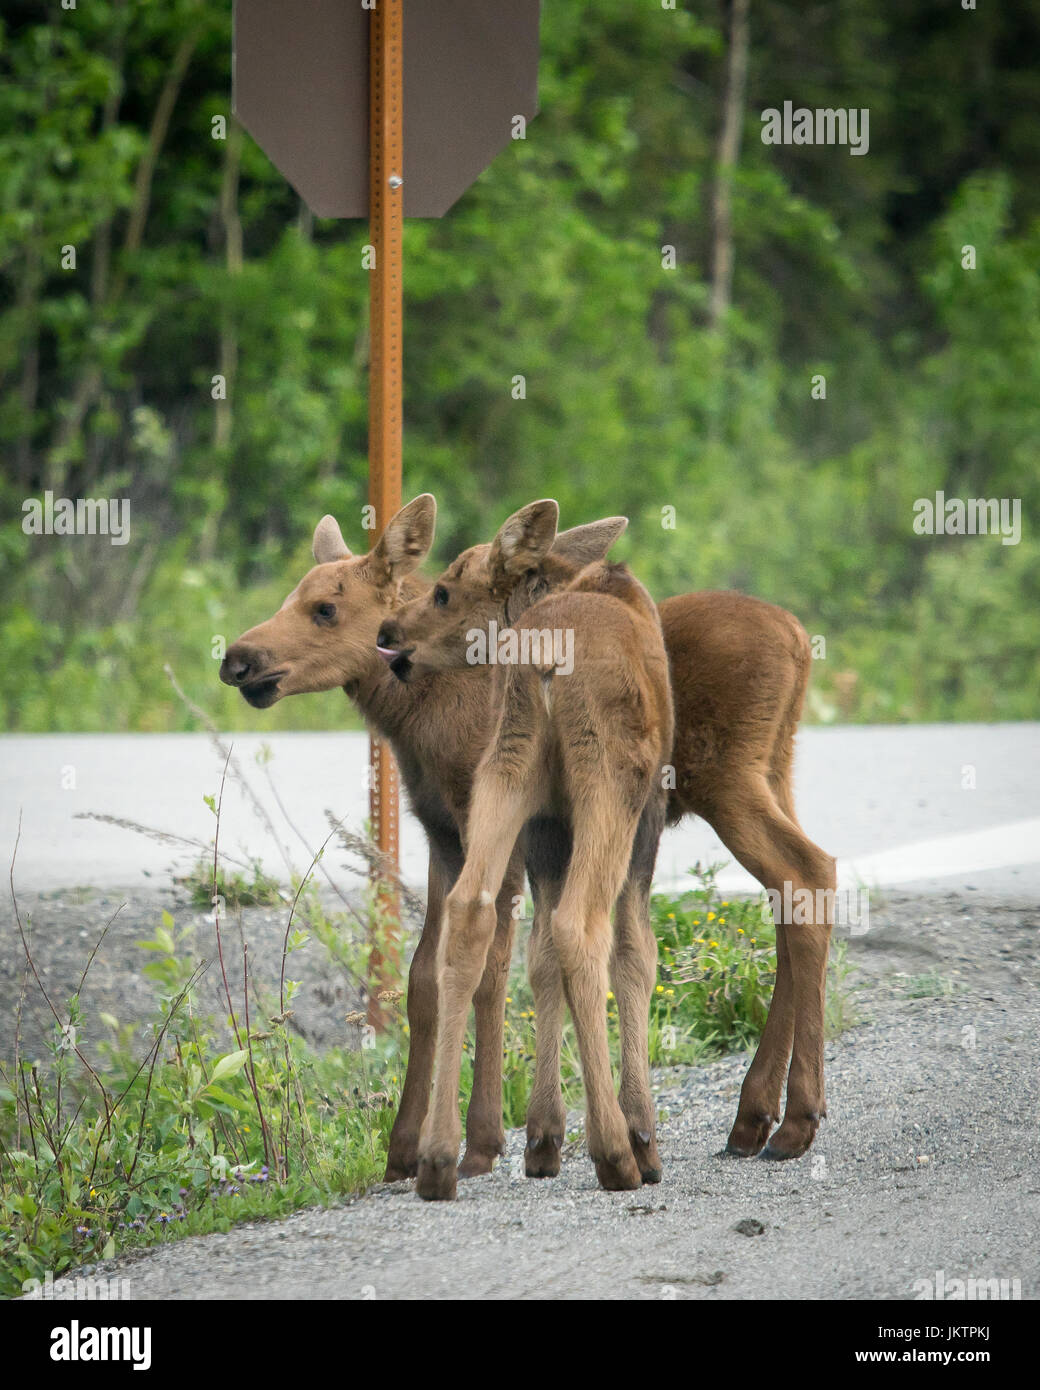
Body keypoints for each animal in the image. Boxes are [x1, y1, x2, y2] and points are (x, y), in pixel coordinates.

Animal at [220, 496, 836, 1184]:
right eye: (292, 597)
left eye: (325, 607)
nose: (238, 659)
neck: (417, 722)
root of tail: (799, 639)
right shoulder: (444, 835)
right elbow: (424, 977)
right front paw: (405, 1146)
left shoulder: (502, 835)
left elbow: (495, 971)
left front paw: (483, 1140)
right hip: (769, 772)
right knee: (795, 895)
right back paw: (758, 1115)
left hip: (724, 784)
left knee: (807, 874)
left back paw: (787, 1116)